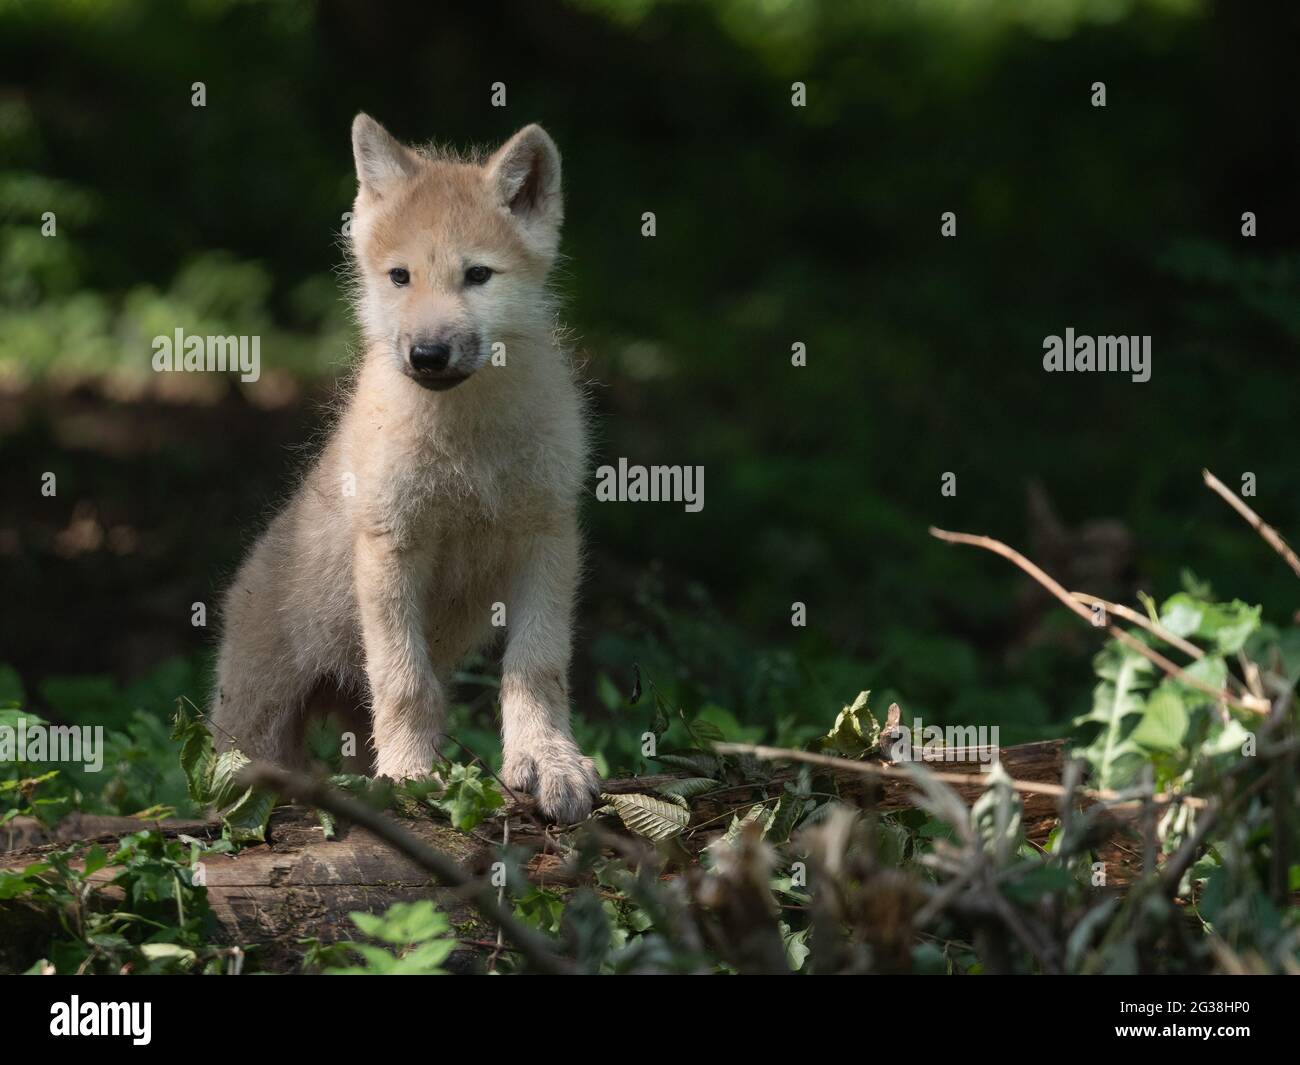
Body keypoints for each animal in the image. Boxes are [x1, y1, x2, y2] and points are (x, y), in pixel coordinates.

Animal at [209, 114, 600, 822]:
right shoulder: (392, 546)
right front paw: (413, 776)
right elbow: (403, 680)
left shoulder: (548, 538)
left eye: (478, 275)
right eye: (400, 277)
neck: (466, 441)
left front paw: (549, 762)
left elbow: (537, 666)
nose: (428, 354)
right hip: (256, 726)